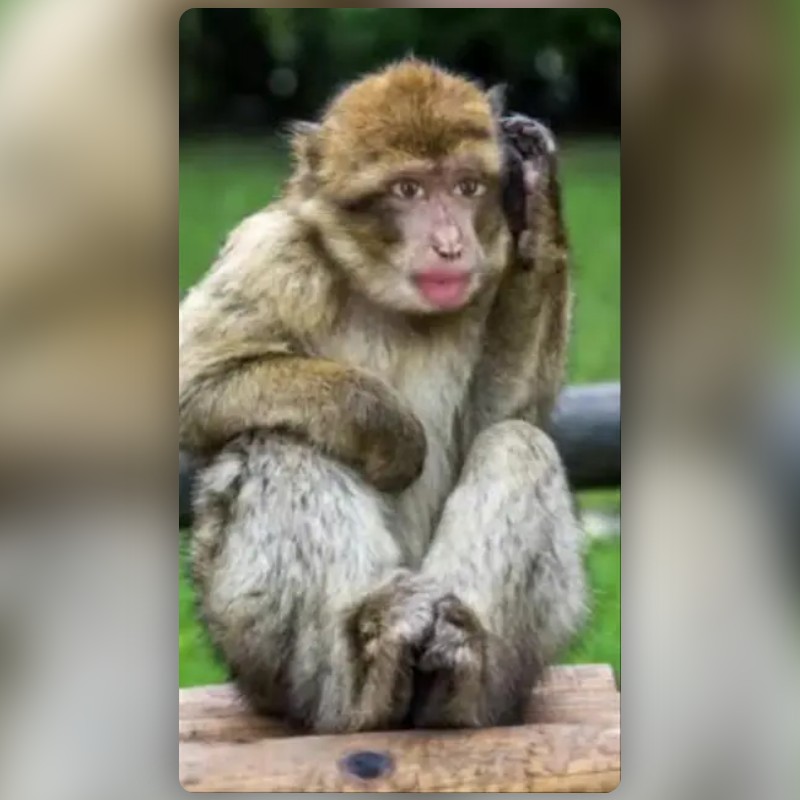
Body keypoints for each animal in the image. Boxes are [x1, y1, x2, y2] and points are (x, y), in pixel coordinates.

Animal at [179, 59, 587, 733]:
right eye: (409, 191)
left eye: (467, 186)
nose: (450, 245)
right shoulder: (272, 253)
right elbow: (193, 382)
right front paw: (387, 428)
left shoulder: (488, 268)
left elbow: (503, 416)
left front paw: (539, 204)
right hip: (251, 650)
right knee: (280, 444)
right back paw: (365, 678)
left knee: (517, 442)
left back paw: (459, 677)